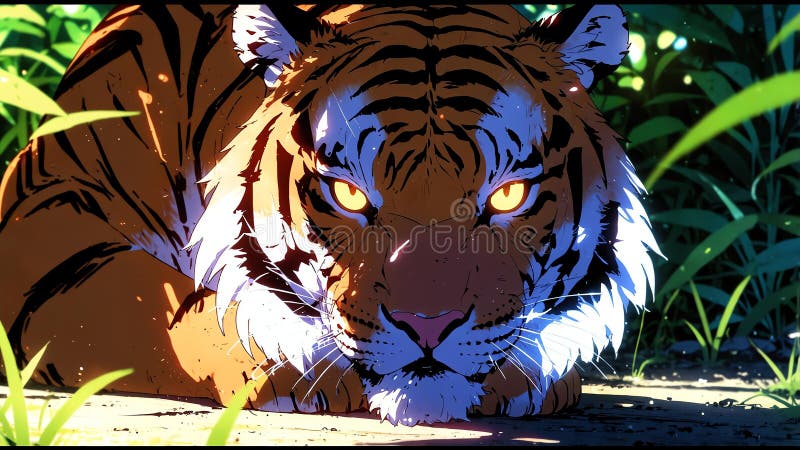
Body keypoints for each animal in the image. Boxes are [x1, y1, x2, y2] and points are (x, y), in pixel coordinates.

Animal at [0, 4, 660, 426]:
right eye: (348, 194)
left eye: (505, 197)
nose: (426, 327)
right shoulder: (50, 224)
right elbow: (175, 306)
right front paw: (294, 363)